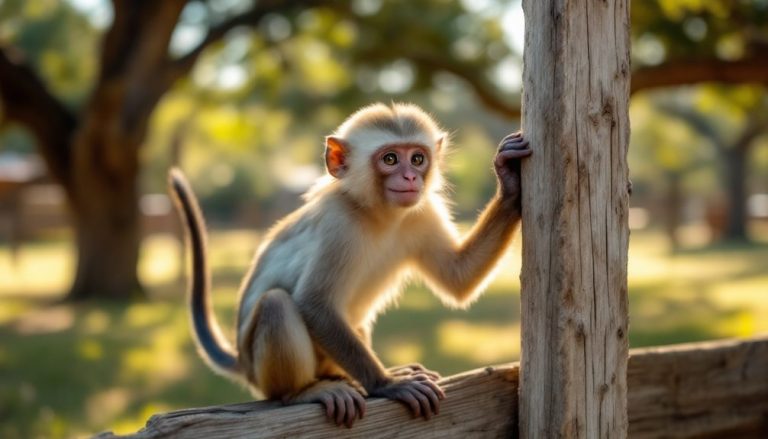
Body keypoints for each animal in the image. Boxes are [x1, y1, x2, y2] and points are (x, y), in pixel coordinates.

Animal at [168, 103, 531, 428]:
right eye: (390, 159)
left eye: (417, 158)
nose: (410, 176)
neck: (379, 213)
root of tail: (242, 364)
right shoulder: (338, 224)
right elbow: (313, 303)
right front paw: (388, 384)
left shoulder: (423, 212)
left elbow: (459, 278)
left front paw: (509, 179)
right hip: (262, 372)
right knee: (276, 304)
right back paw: (302, 392)